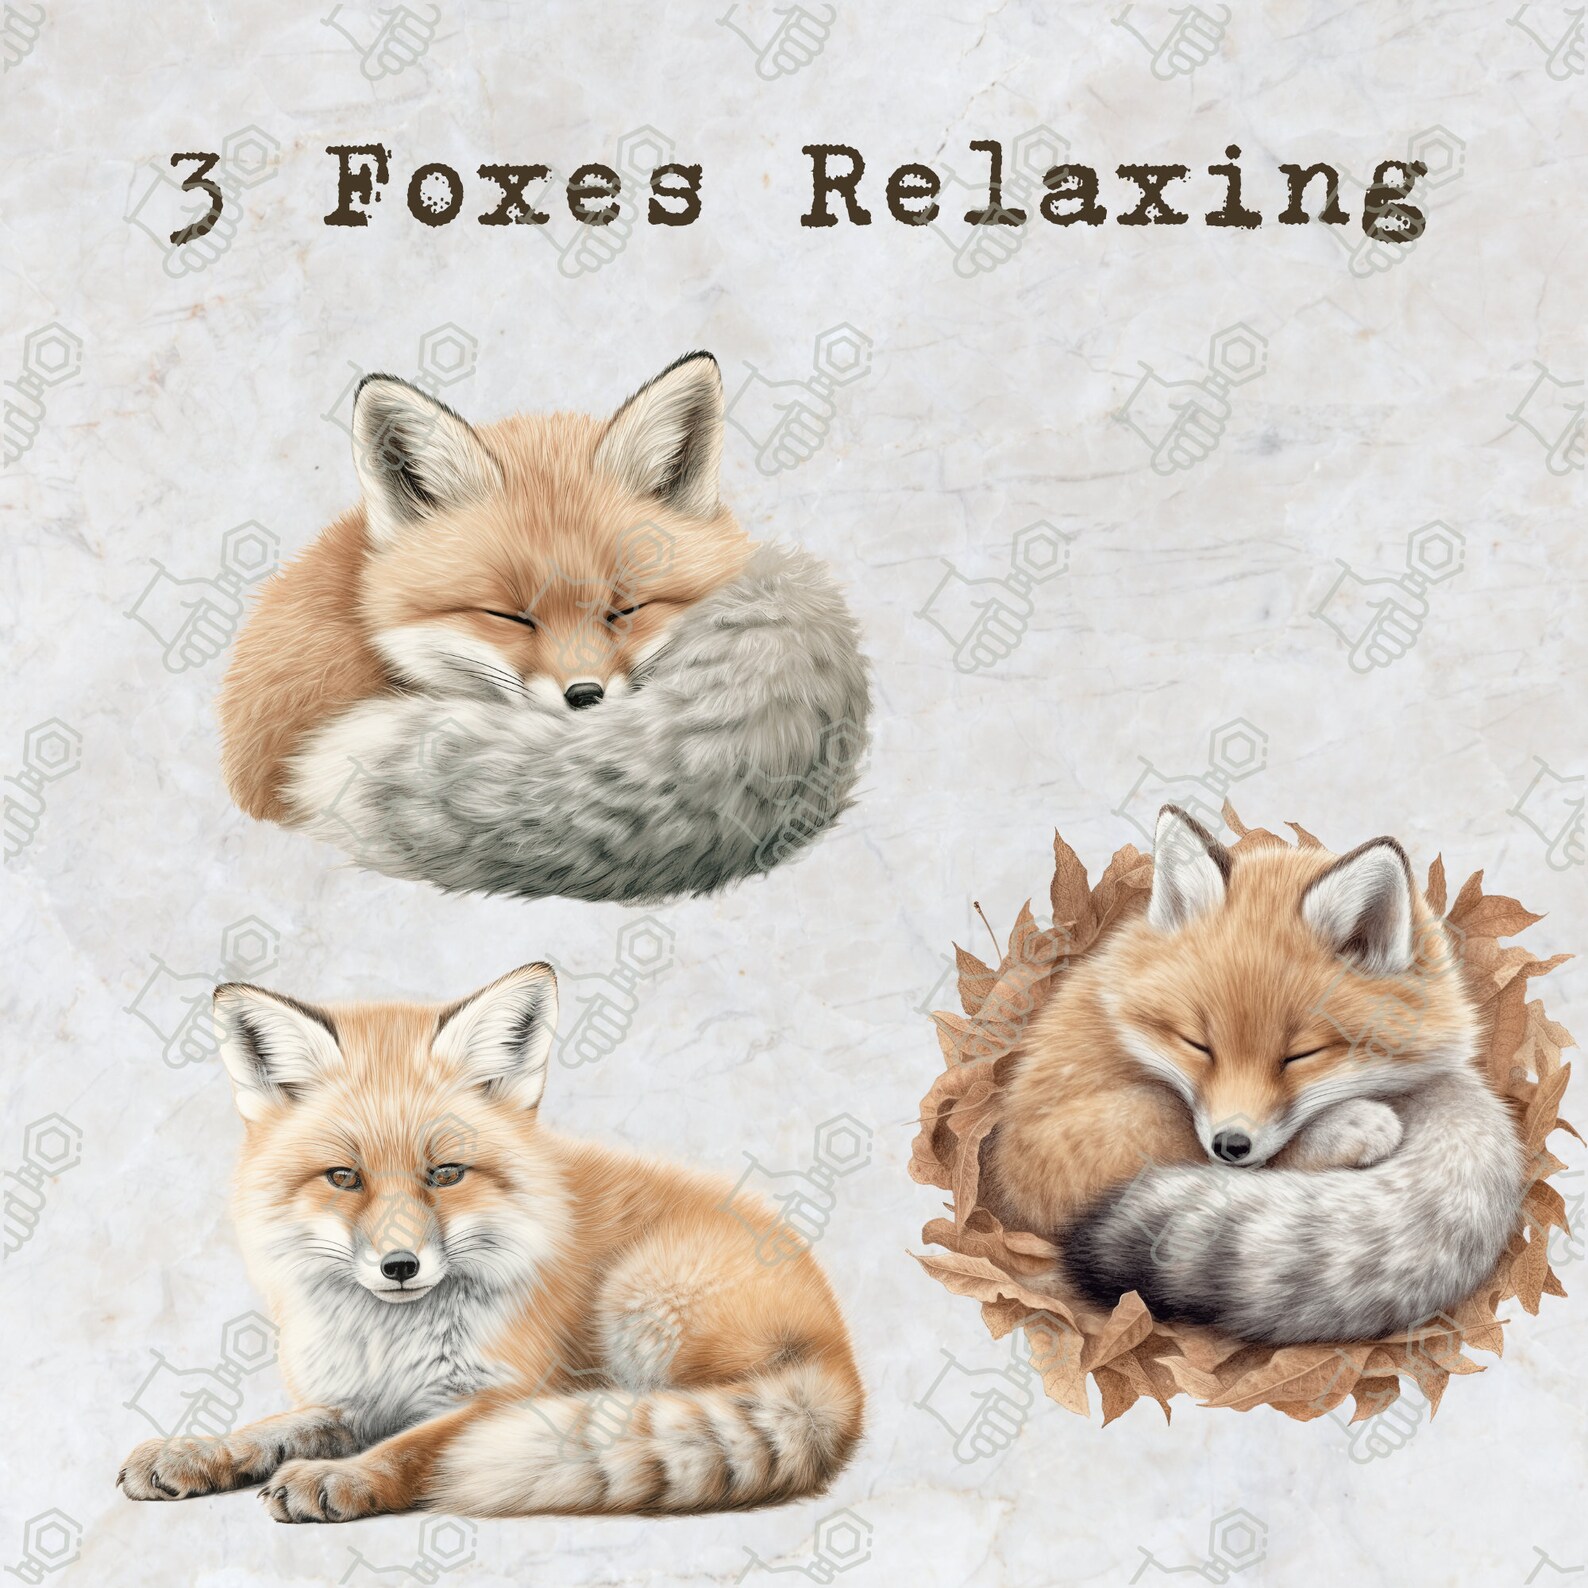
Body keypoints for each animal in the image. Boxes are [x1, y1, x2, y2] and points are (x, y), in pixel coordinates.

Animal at [116, 964, 863, 1521]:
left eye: (446, 1174)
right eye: (344, 1178)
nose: (399, 1267)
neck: (389, 1342)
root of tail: (841, 1363)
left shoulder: (506, 1392)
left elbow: (416, 1446)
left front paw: (344, 1477)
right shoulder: (352, 1400)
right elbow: (266, 1428)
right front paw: (197, 1451)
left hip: (639, 1299)